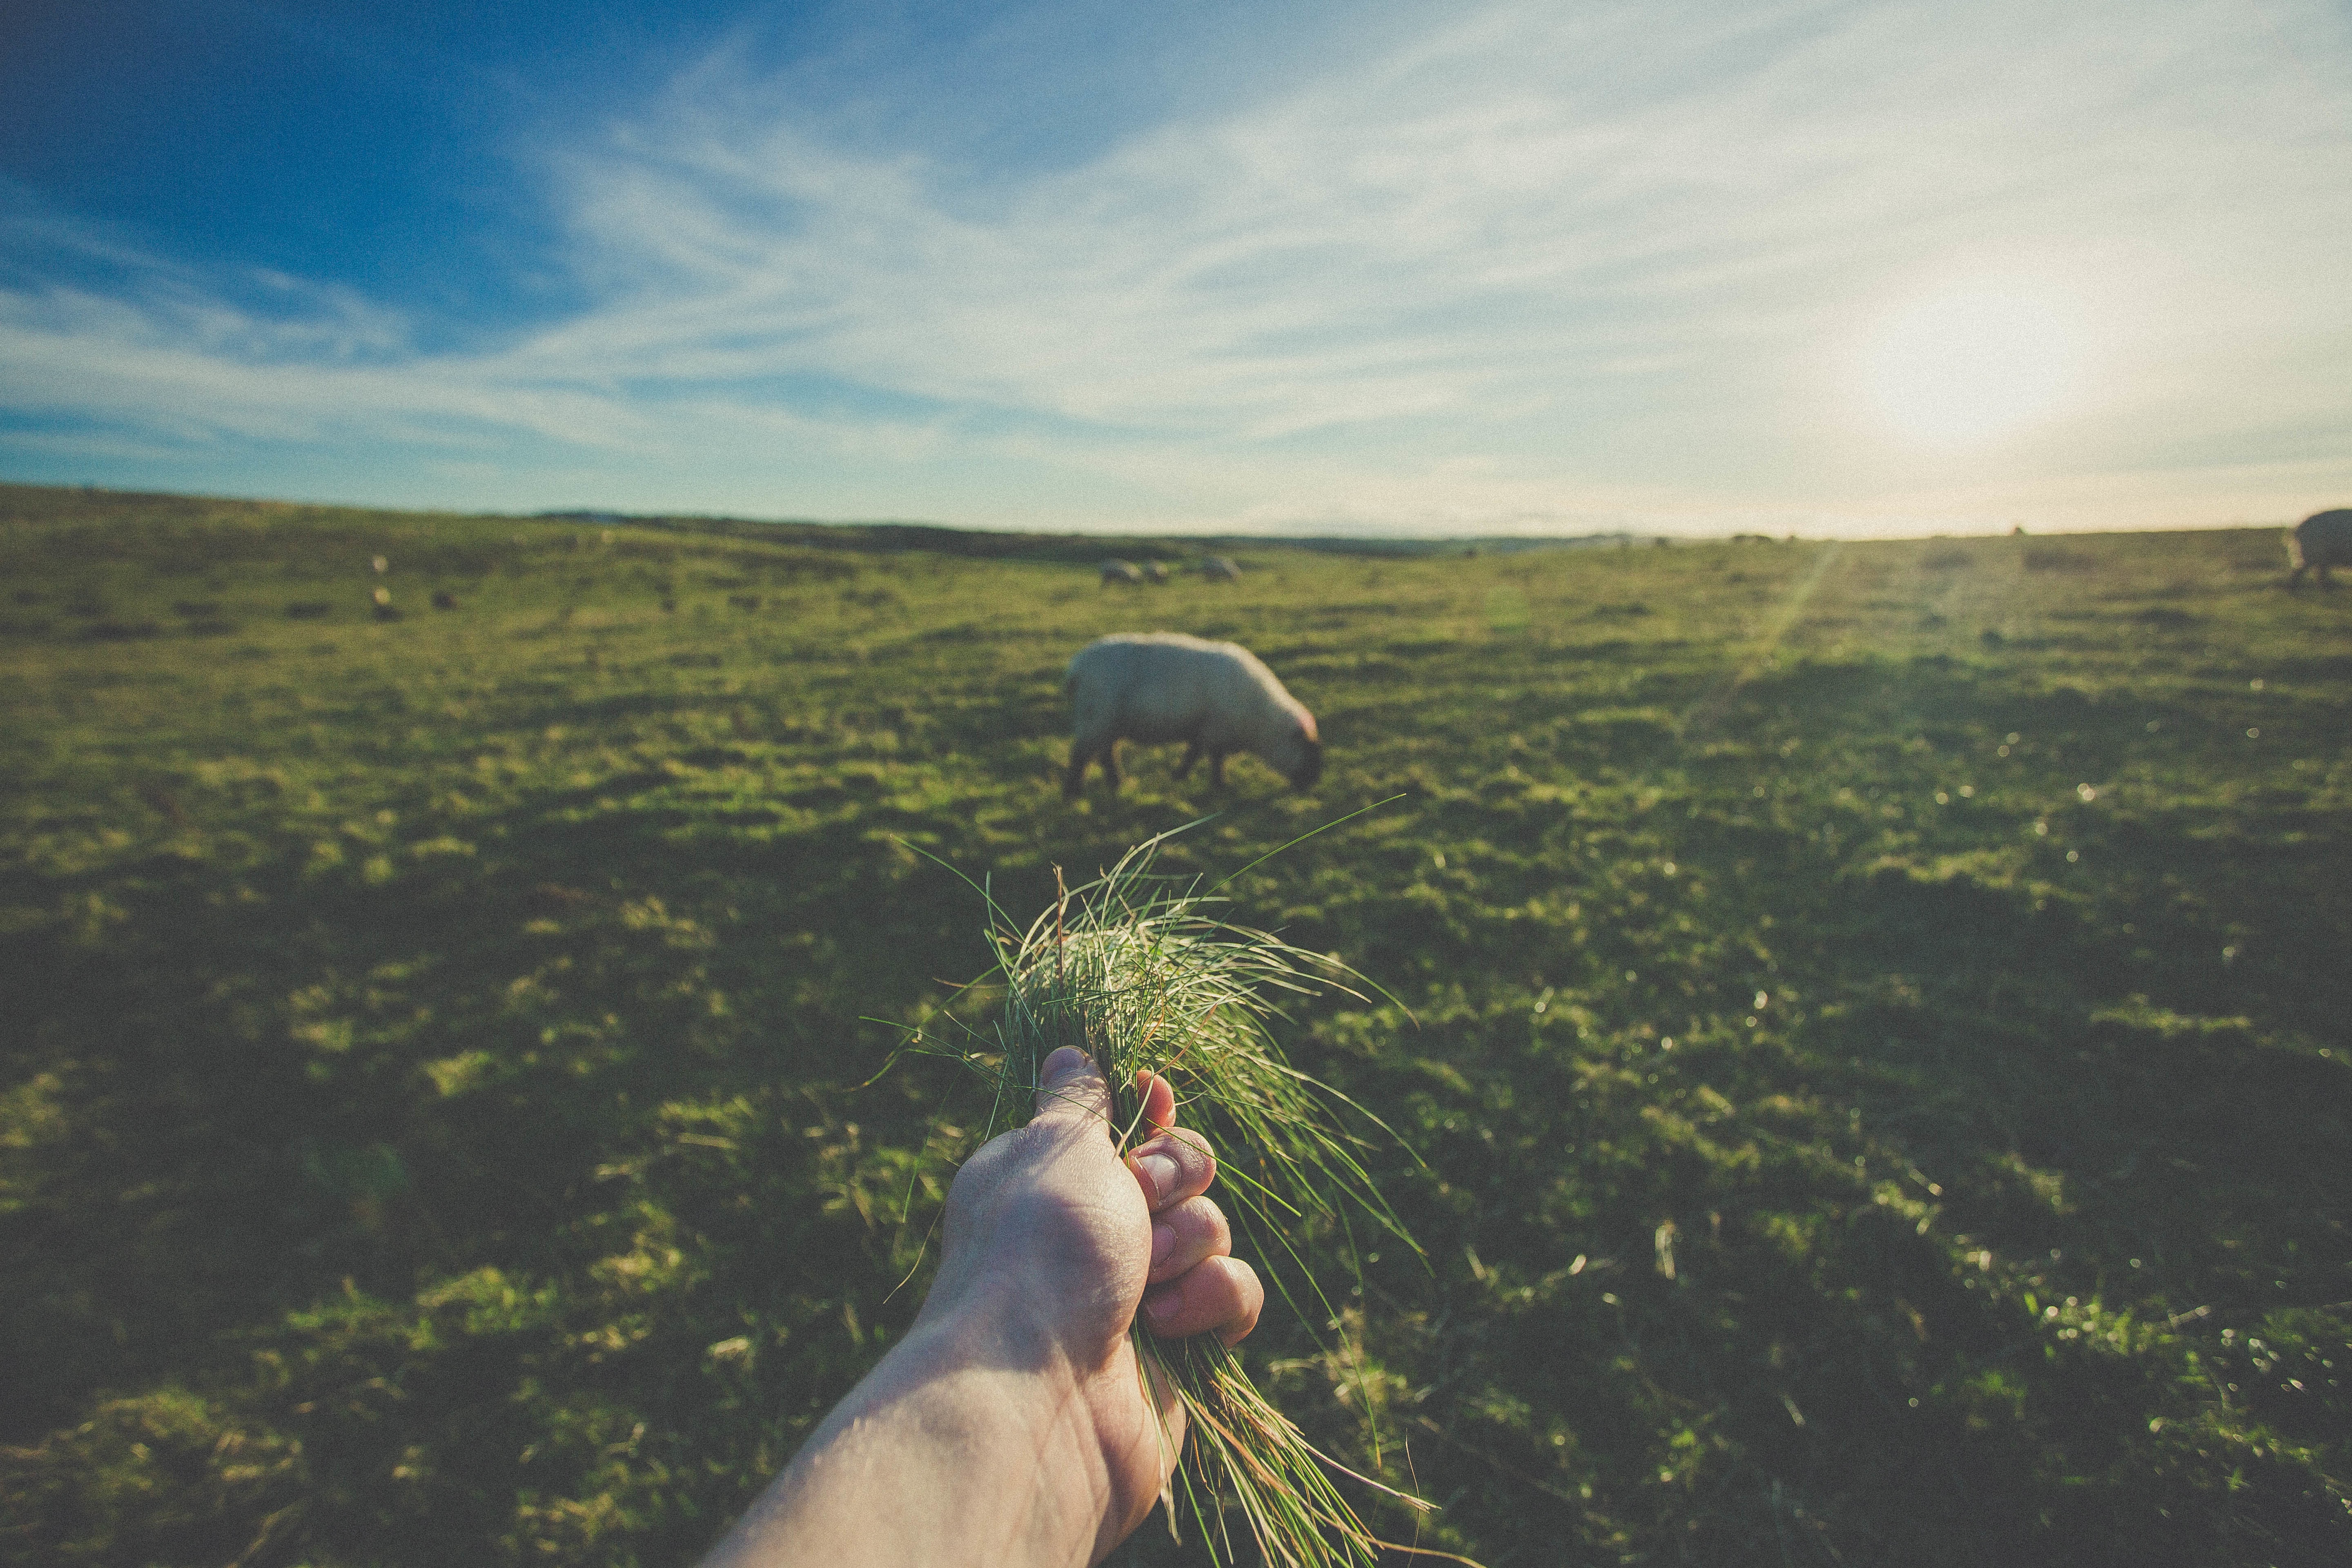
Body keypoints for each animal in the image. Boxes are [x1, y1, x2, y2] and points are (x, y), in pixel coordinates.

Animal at [1064, 632, 1321, 798]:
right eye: (1308, 749)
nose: (1314, 783)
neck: (1263, 721)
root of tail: (1077, 667)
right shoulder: (1217, 731)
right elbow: (1214, 759)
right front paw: (1219, 785)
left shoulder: (1205, 731)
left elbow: (1196, 753)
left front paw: (1180, 776)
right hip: (1096, 717)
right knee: (1080, 755)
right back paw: (1075, 792)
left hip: (1106, 723)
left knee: (1106, 753)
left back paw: (1118, 783)